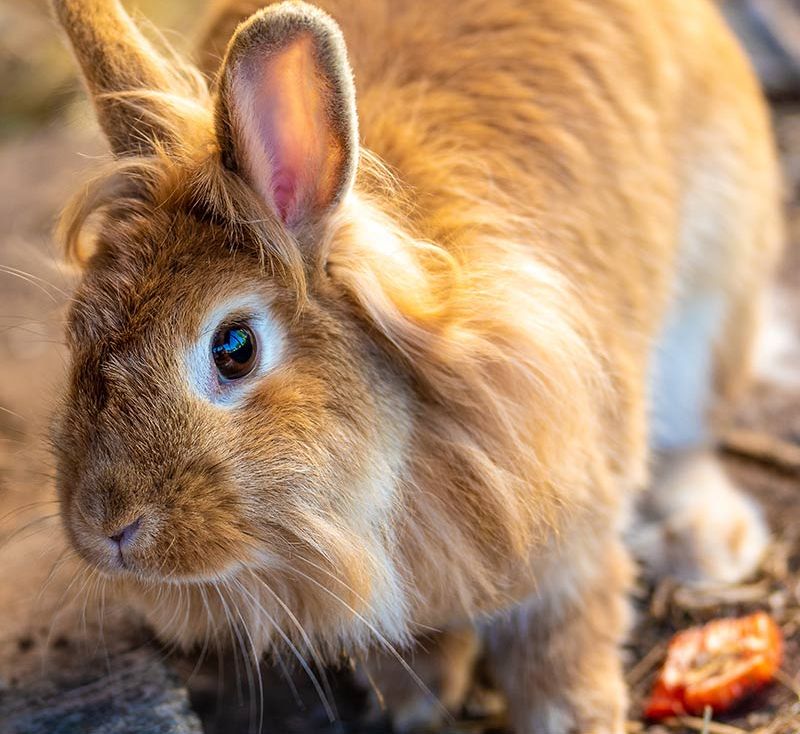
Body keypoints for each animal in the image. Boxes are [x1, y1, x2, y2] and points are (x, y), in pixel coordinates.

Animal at [50, 0, 782, 732]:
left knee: (688, 443)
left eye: (235, 348)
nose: (106, 529)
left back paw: (707, 546)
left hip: (710, 310)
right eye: (75, 331)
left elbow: (559, 662)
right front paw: (416, 703)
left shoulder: (568, 553)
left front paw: (579, 716)